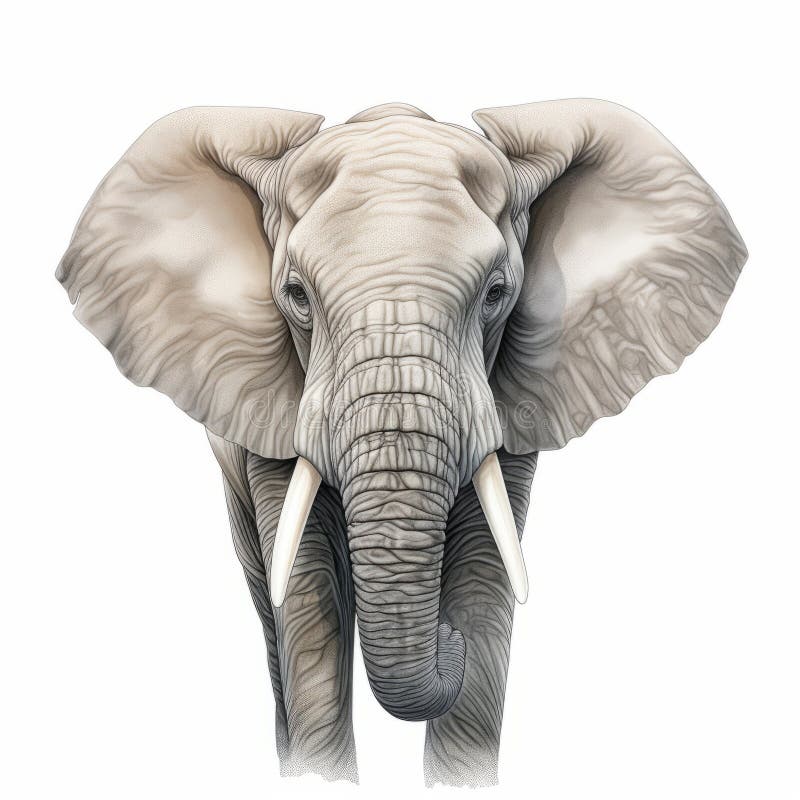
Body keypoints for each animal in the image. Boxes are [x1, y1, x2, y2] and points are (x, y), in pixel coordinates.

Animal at [56, 100, 746, 786]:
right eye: (296, 296)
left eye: (497, 294)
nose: (446, 638)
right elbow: (305, 582)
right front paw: (322, 778)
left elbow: (485, 561)